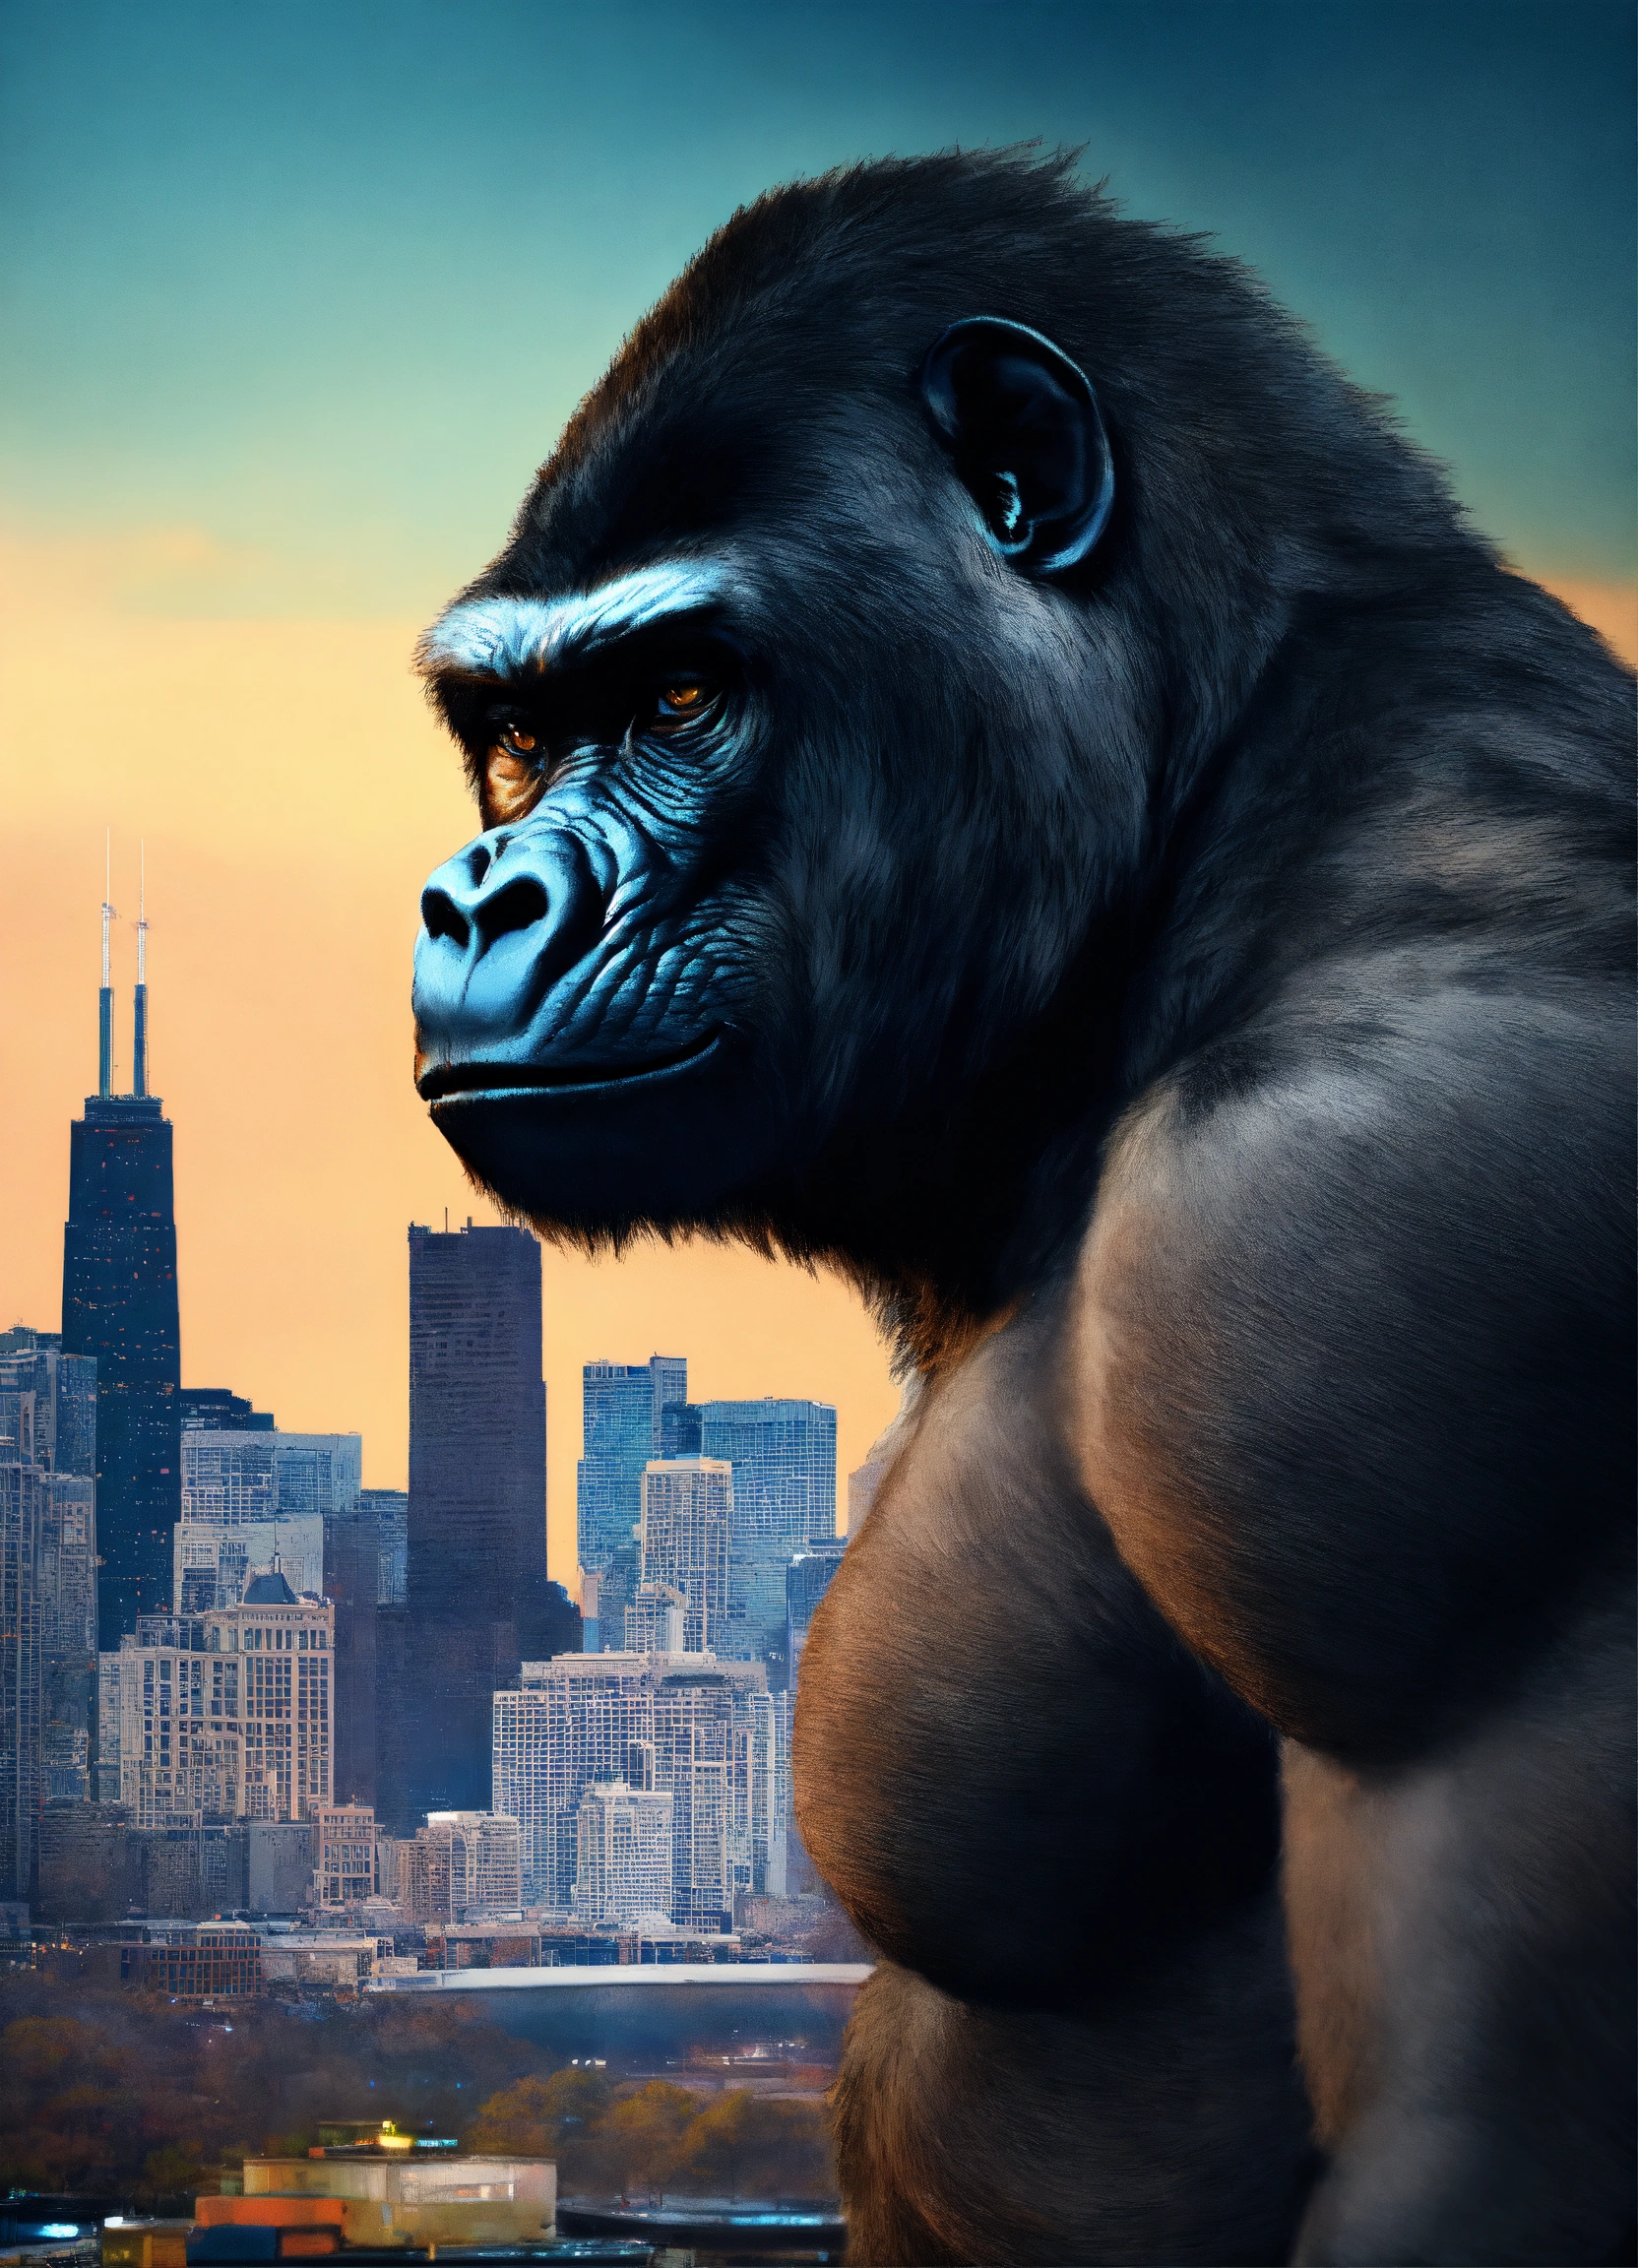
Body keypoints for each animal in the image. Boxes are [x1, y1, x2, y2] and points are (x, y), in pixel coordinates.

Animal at [410, 151, 1635, 2264]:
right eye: (518, 736)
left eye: (678, 687)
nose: (480, 893)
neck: (1205, 801)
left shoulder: (1382, 1216)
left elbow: (1494, 2148)